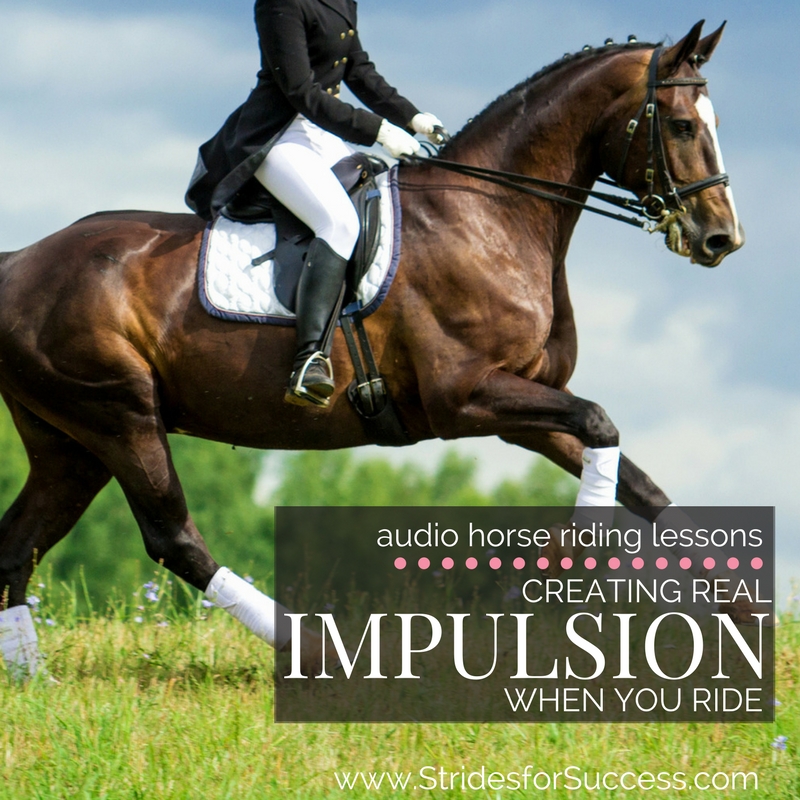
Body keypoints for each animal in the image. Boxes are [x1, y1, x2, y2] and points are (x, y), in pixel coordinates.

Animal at [0, 21, 743, 676]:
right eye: (683, 125)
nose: (721, 238)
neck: (490, 214)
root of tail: (19, 262)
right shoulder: (467, 398)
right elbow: (600, 424)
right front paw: (573, 573)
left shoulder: (526, 408)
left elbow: (633, 474)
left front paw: (741, 607)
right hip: (119, 415)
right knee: (172, 538)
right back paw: (319, 650)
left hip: (71, 442)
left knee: (18, 547)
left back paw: (33, 678)